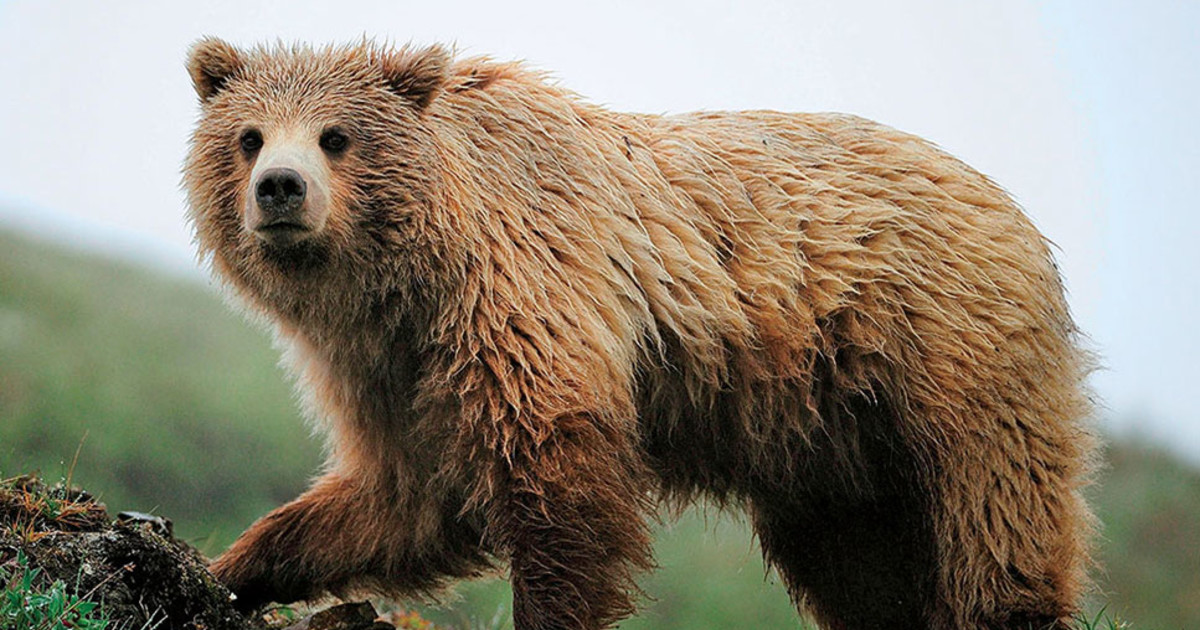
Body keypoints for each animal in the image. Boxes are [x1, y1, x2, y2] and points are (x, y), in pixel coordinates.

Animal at [183, 38, 1097, 630]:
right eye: (248, 136)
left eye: (337, 136)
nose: (281, 188)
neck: (411, 275)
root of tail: (1007, 203)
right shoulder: (388, 368)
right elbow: (402, 496)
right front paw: (231, 569)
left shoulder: (526, 295)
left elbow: (557, 479)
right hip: (832, 439)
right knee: (859, 567)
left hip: (948, 351)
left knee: (996, 511)